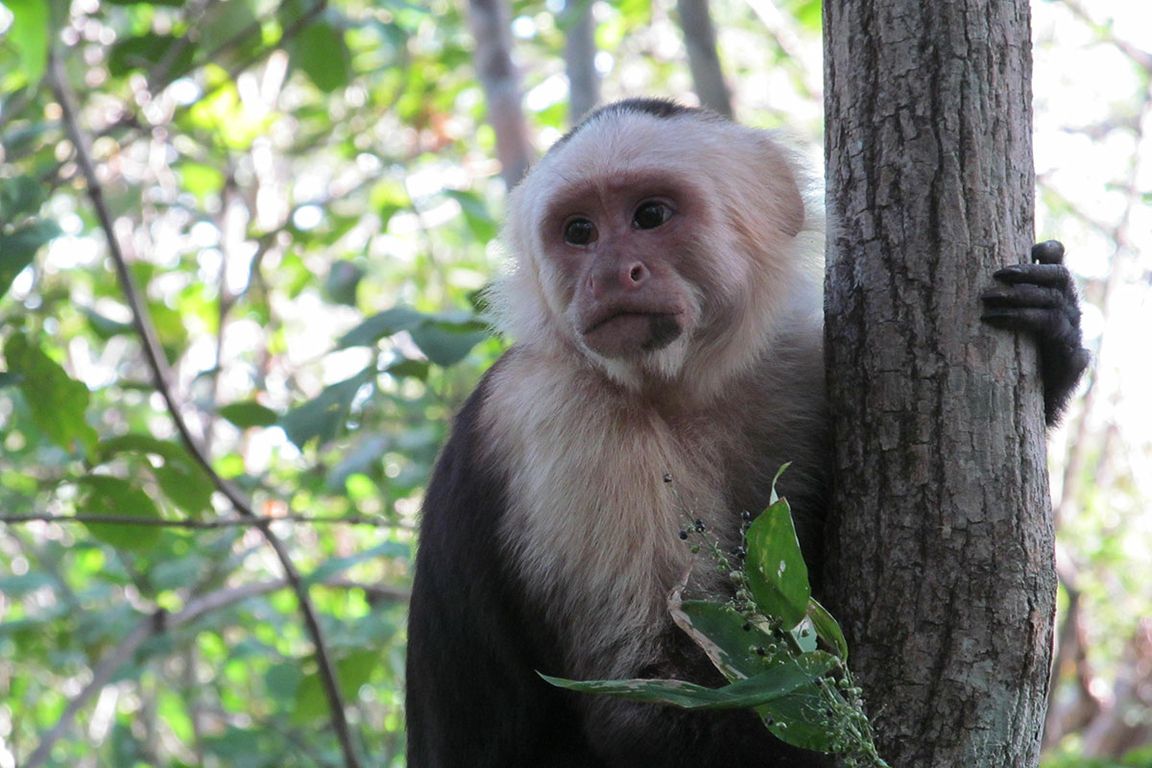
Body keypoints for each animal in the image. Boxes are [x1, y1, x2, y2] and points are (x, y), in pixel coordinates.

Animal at [405, 99, 1089, 767]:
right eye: (579, 232)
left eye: (650, 215)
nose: (608, 275)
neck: (680, 389)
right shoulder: (558, 416)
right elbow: (645, 693)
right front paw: (843, 734)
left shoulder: (799, 361)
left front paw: (1056, 338)